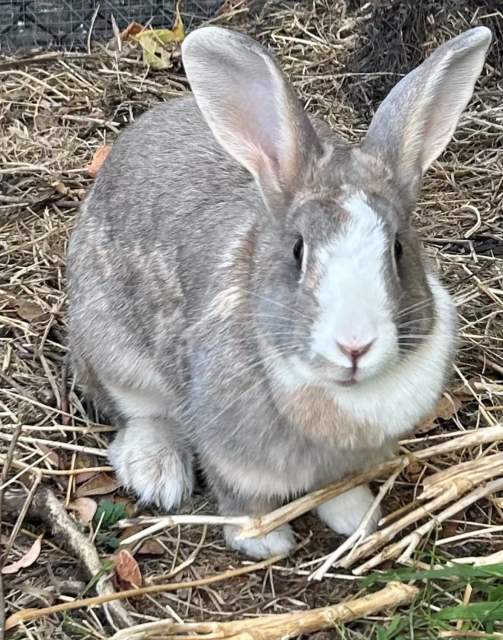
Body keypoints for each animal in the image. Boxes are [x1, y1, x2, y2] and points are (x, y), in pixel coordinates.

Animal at [67, 25, 491, 558]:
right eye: (297, 250)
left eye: (398, 248)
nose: (355, 346)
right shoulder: (230, 455)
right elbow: (244, 498)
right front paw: (263, 542)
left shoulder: (352, 462)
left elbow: (341, 489)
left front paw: (357, 520)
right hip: (111, 348)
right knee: (138, 411)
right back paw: (157, 473)